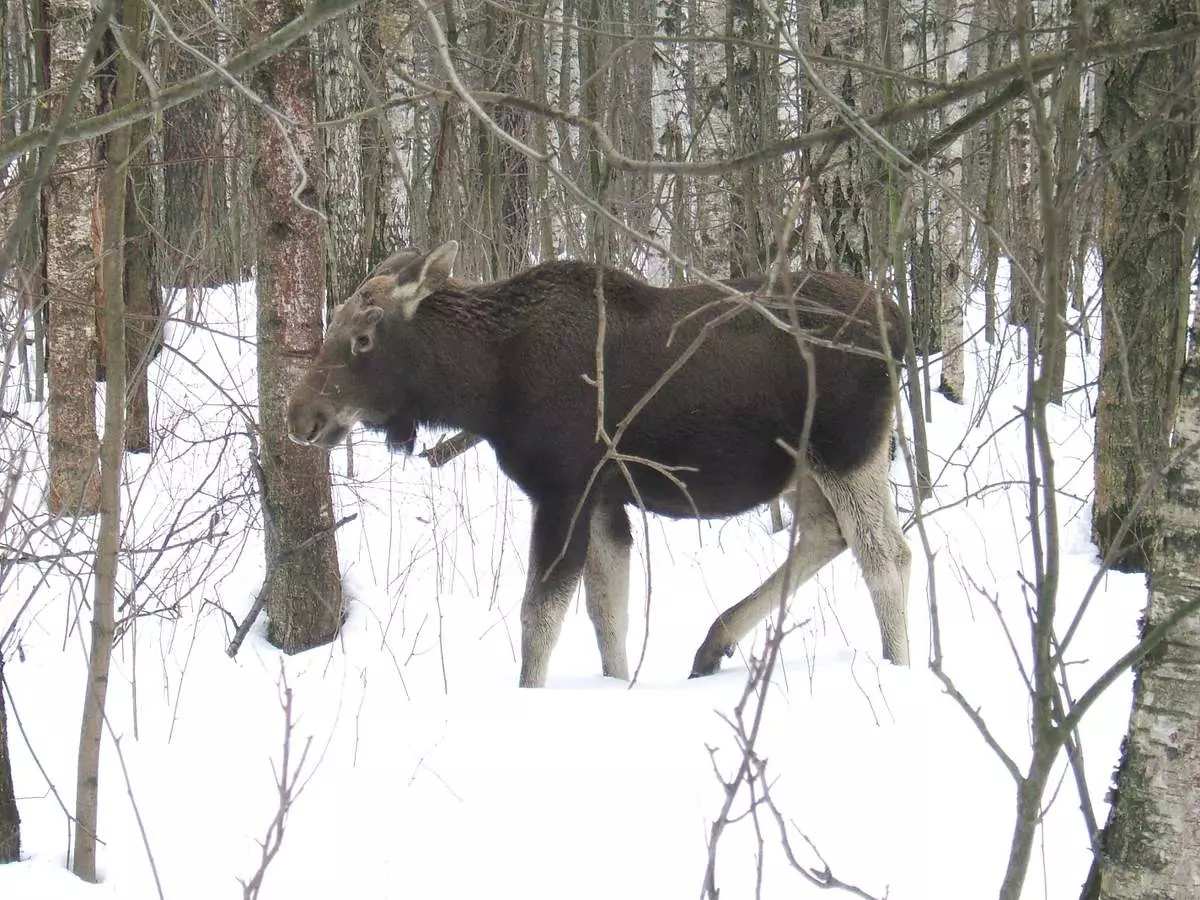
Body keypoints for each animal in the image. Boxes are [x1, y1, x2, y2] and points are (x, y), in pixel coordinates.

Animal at [288, 243, 907, 686]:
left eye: (363, 337)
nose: (301, 417)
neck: (487, 387)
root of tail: (900, 323)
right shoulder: (606, 496)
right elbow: (607, 613)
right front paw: (616, 685)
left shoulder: (565, 490)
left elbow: (540, 616)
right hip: (806, 467)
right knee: (832, 534)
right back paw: (714, 642)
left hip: (846, 450)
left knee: (886, 554)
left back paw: (898, 666)